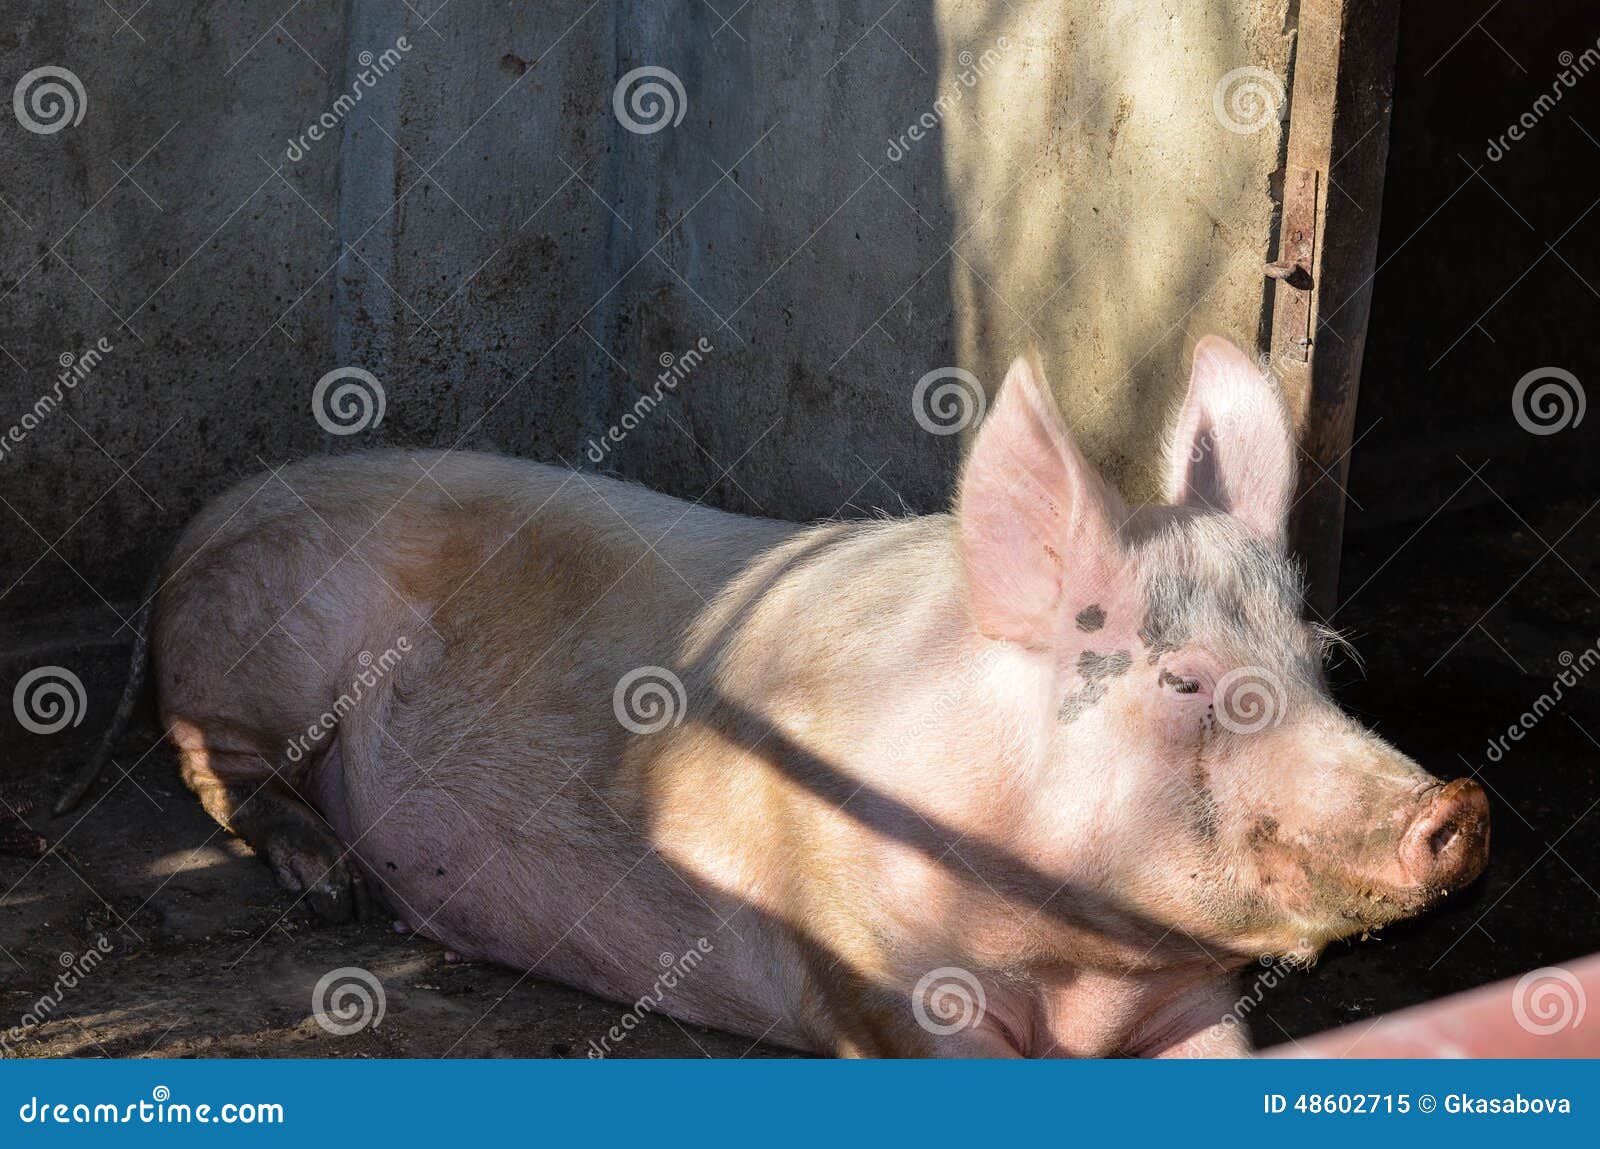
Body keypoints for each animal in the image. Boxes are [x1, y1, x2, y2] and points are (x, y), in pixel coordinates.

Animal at [73, 336, 1488, 1056]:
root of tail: (207, 520)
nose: (1456, 805)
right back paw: (332, 887)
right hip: (259, 652)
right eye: (1186, 680)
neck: (1083, 973)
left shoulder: (1186, 998)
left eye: (1318, 660)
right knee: (214, 762)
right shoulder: (866, 959)